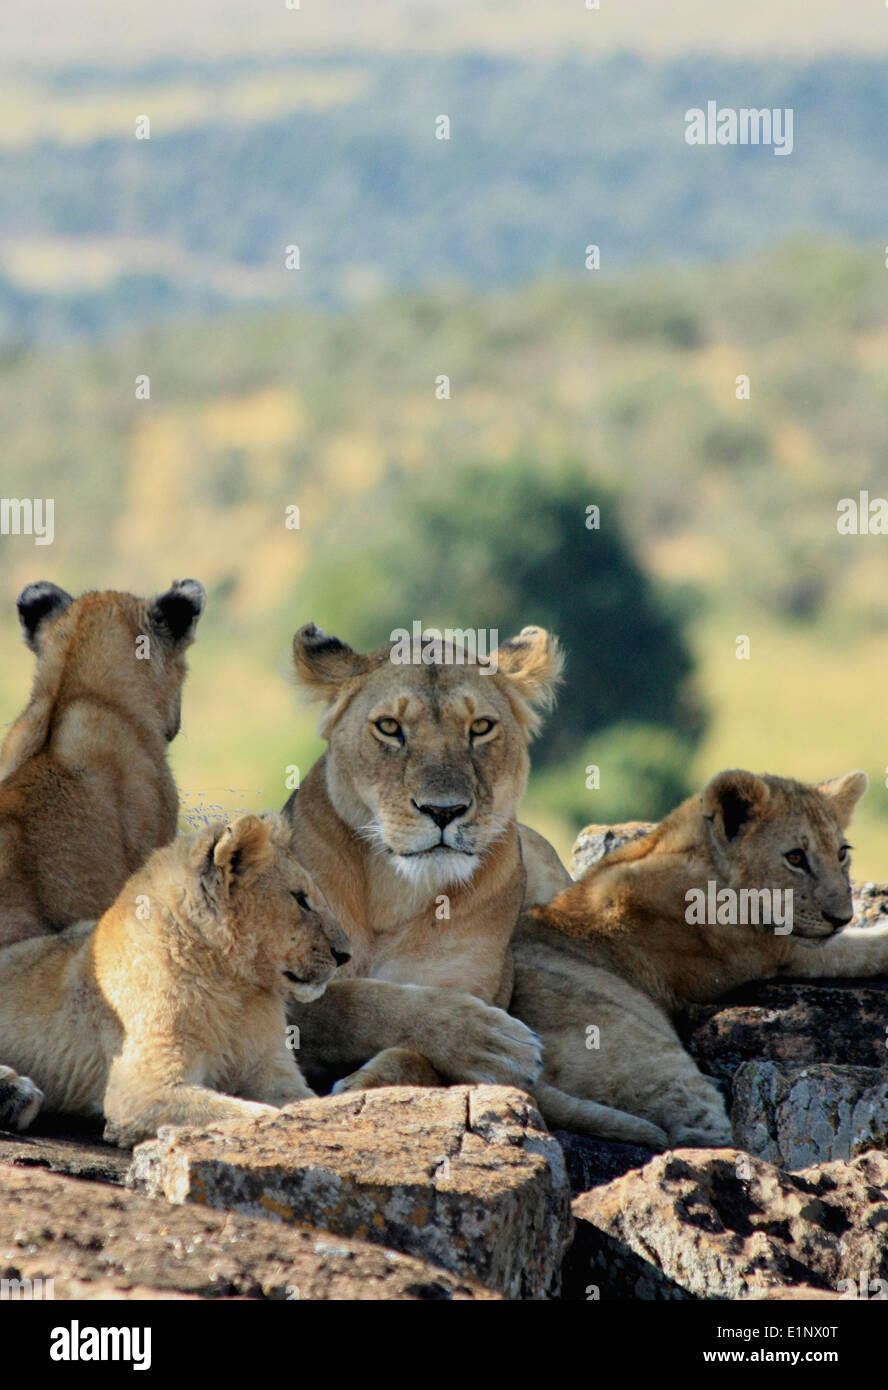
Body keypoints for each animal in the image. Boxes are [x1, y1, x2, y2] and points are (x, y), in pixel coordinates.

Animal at [0, 812, 351, 1145]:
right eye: (300, 899)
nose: (345, 955)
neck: (233, 988)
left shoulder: (273, 1068)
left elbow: (306, 1103)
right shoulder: (140, 1091)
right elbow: (241, 1112)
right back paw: (16, 1095)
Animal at [282, 622, 567, 1094]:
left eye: (481, 727)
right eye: (389, 727)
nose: (443, 810)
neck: (394, 890)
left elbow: (418, 1062)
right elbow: (351, 1003)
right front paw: (492, 1042)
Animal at [509, 768, 886, 1149]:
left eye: (841, 853)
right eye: (795, 857)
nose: (842, 918)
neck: (703, 857)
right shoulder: (779, 950)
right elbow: (863, 950)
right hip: (654, 1060)